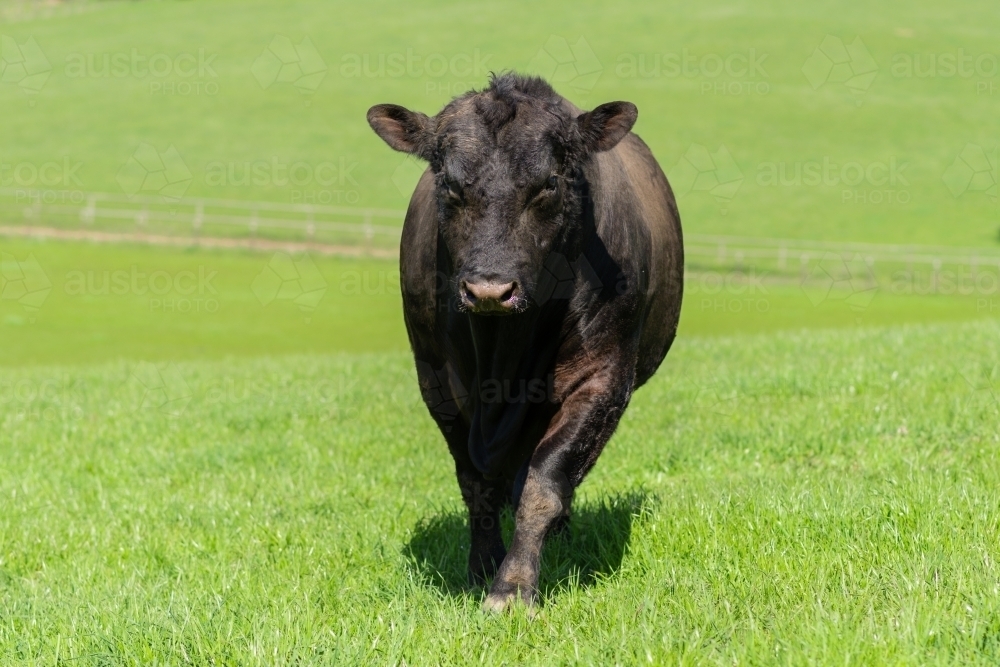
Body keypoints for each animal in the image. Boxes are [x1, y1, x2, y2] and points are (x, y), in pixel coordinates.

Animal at [367, 72, 683, 611]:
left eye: (549, 183)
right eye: (449, 183)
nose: (490, 290)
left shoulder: (602, 378)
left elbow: (543, 482)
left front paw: (512, 587)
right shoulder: (436, 381)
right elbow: (475, 484)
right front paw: (481, 568)